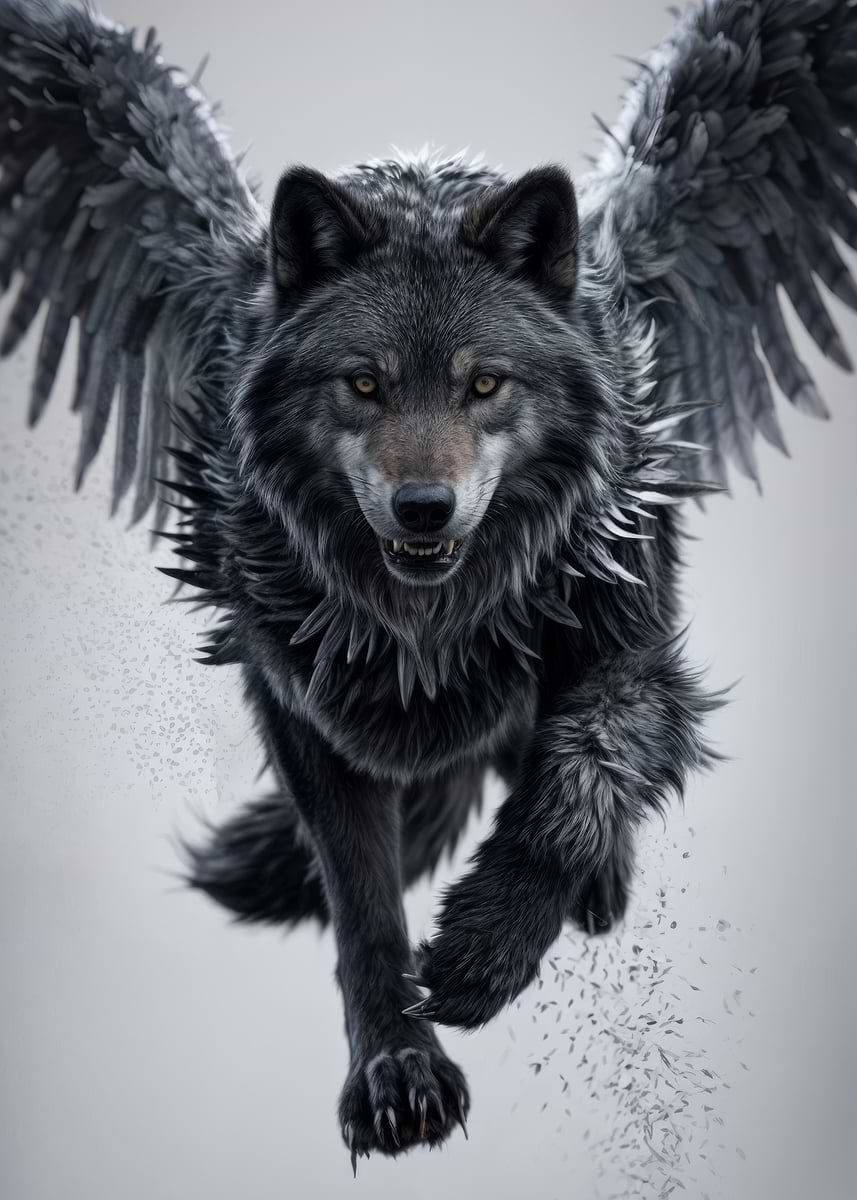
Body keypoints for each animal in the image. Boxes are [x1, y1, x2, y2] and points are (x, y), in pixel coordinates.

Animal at [2, 0, 855, 1167]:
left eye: (483, 384)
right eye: (362, 384)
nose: (422, 510)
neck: (428, 626)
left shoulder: (626, 649)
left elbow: (577, 784)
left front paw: (481, 954)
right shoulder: (311, 714)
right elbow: (362, 902)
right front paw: (396, 1073)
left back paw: (588, 891)